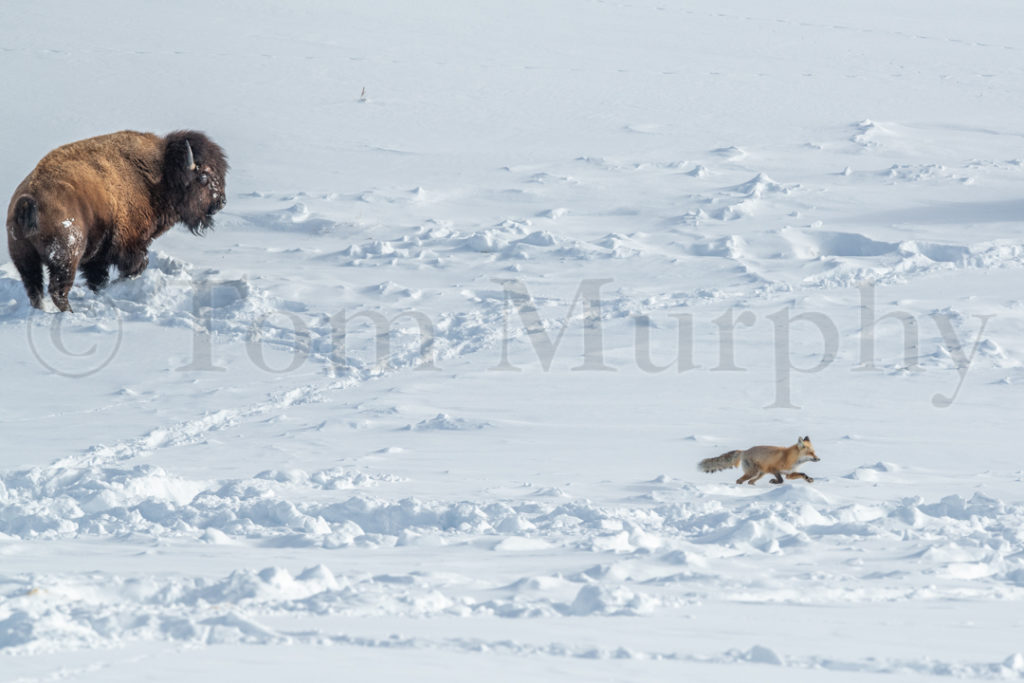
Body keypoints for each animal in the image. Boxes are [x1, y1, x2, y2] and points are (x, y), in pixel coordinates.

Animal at [6, 130, 228, 312]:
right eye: (203, 178)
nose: (221, 201)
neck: (159, 175)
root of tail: (27, 200)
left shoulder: (97, 257)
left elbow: (98, 279)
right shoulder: (130, 245)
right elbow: (135, 265)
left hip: (25, 260)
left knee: (35, 289)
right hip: (66, 257)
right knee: (57, 290)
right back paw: (69, 313)